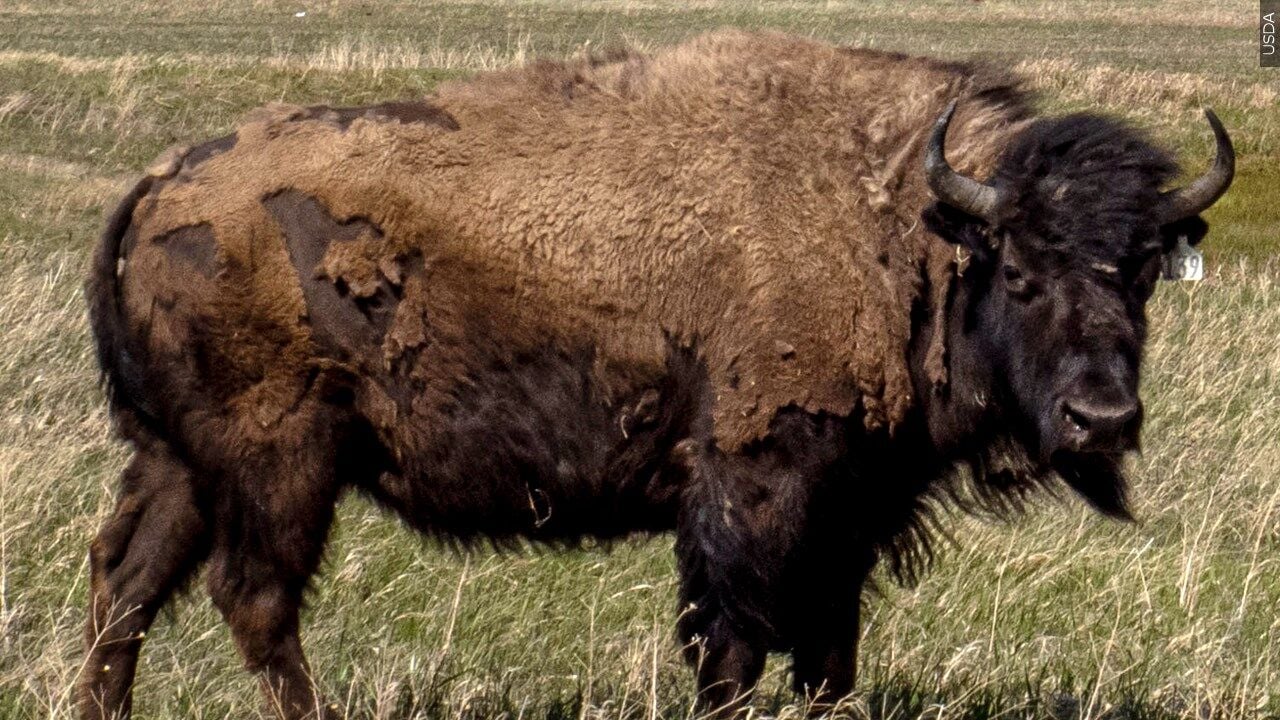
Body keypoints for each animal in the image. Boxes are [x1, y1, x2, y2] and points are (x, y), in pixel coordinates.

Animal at [80, 30, 1233, 719]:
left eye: (1143, 272)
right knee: (255, 600)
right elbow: (730, 646)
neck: (905, 231)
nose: (1100, 418)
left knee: (125, 581)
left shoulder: (849, 512)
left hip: (178, 462)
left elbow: (829, 653)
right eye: (1023, 272)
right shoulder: (751, 491)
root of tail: (159, 182)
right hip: (281, 461)